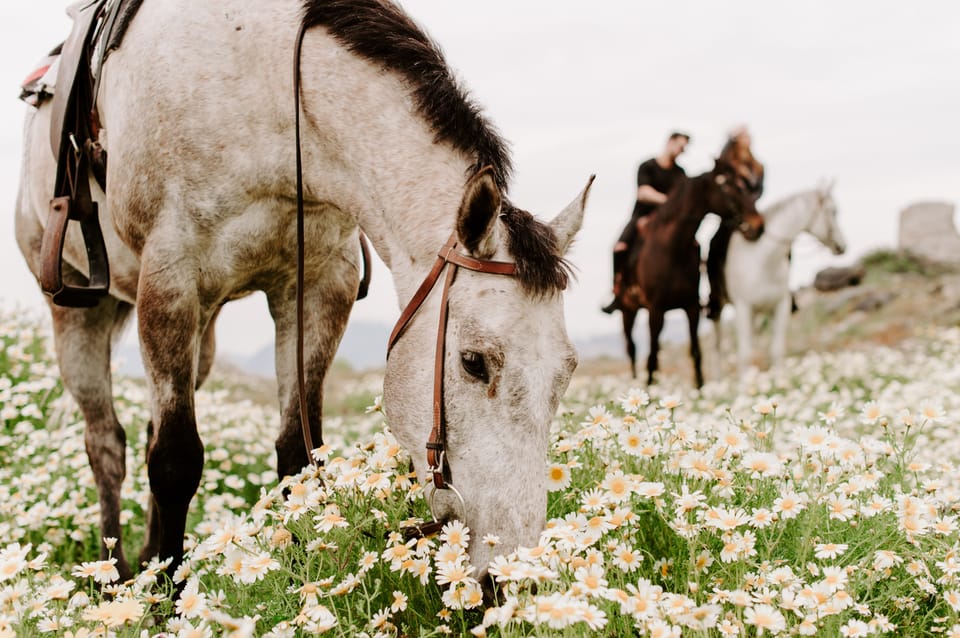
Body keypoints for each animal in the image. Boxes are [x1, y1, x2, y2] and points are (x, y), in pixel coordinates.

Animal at [15, 0, 592, 581]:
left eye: (567, 370)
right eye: (473, 362)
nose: (508, 575)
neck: (265, 90)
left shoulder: (318, 285)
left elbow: (297, 453)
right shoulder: (169, 280)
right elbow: (175, 460)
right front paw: (167, 593)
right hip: (82, 315)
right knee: (106, 444)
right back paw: (118, 575)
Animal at [615, 160, 765, 388]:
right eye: (730, 188)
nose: (759, 225)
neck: (673, 249)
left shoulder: (691, 307)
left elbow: (695, 351)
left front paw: (700, 387)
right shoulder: (655, 309)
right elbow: (650, 355)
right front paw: (649, 387)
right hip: (628, 310)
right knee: (632, 348)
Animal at [712, 183, 846, 375]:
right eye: (833, 211)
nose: (843, 245)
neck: (765, 261)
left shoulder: (780, 305)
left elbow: (776, 350)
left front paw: (780, 379)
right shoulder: (743, 307)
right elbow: (744, 354)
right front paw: (745, 383)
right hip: (718, 308)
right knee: (718, 347)